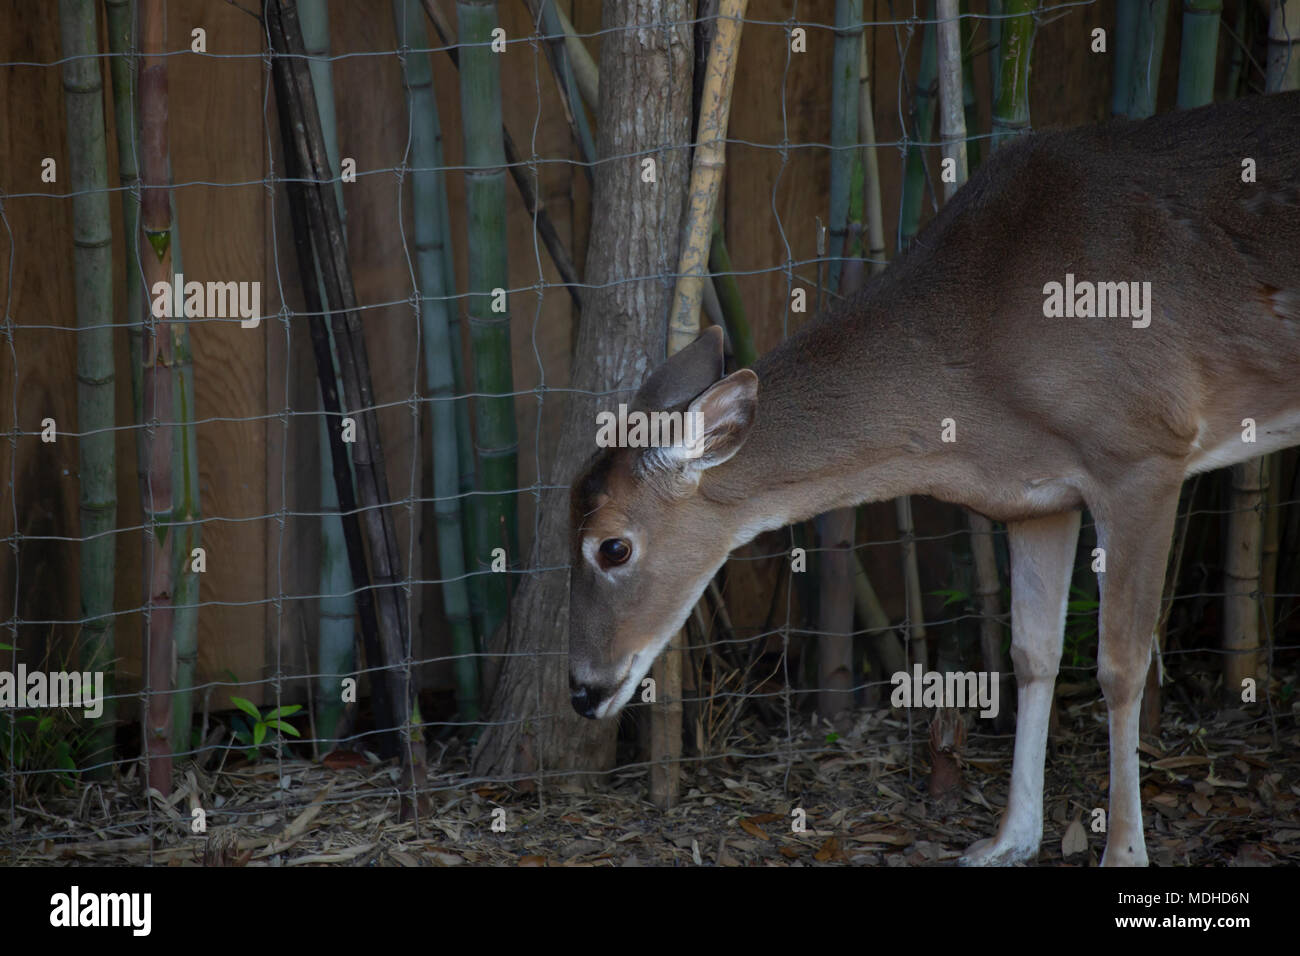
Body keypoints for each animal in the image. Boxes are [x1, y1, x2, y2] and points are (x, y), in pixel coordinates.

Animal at [565, 91, 1300, 866]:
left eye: (613, 547)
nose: (583, 691)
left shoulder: (1143, 450)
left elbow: (1121, 666)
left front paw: (1124, 853)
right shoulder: (1038, 494)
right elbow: (1031, 655)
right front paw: (1008, 839)